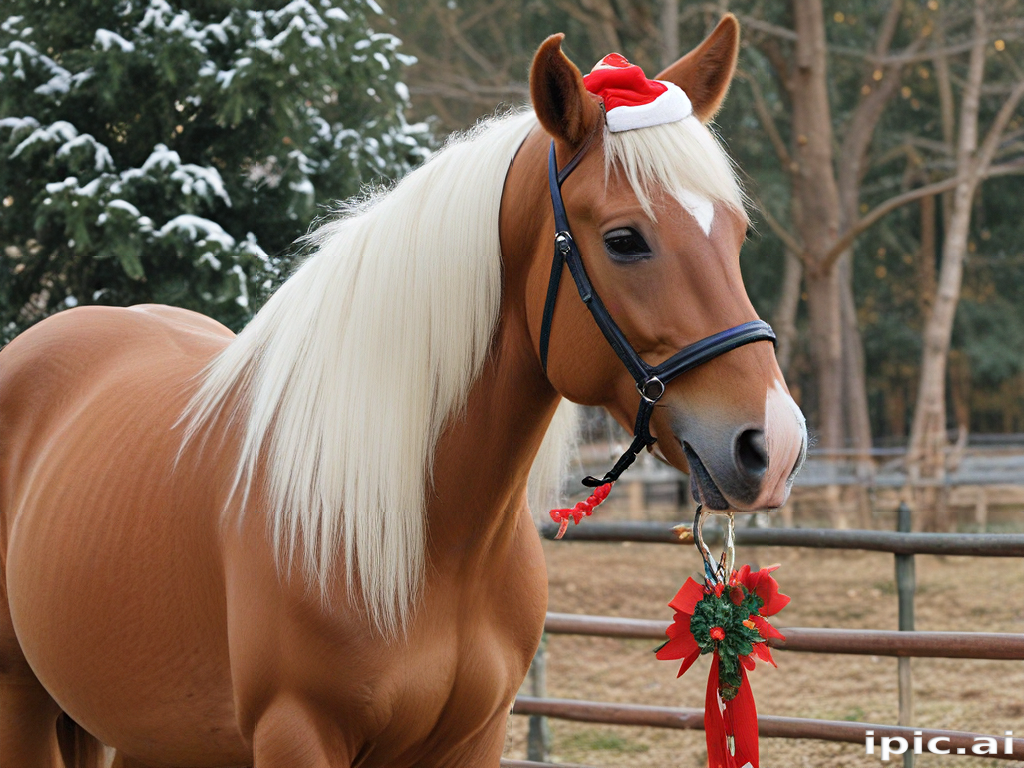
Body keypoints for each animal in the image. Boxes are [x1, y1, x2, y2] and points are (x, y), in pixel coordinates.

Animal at [0, 15, 806, 768]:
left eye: (737, 234)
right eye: (624, 240)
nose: (774, 443)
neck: (433, 544)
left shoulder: (474, 735)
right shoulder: (296, 732)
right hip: (25, 702)